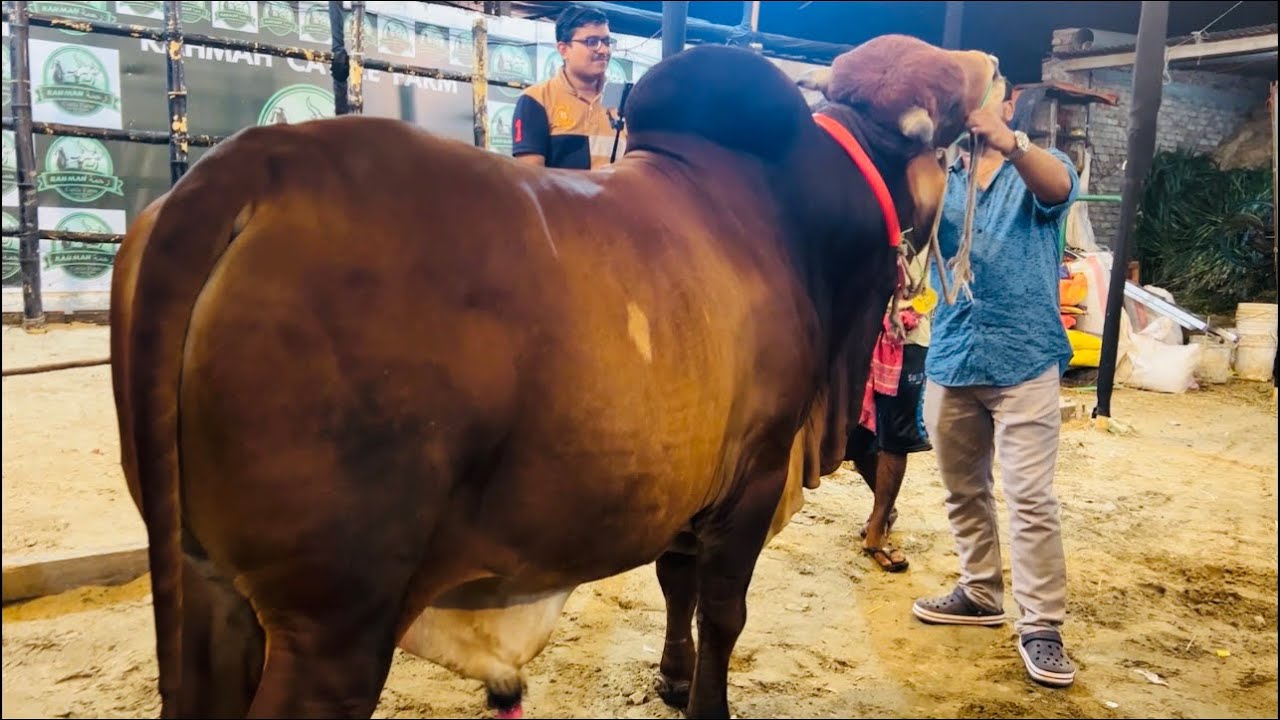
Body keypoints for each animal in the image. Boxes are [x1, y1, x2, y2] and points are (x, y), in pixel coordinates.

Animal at [109, 35, 1002, 720]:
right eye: (944, 135)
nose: (990, 70)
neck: (790, 215)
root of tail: (254, 165)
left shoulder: (688, 487)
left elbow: (676, 582)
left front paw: (673, 680)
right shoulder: (751, 479)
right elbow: (724, 611)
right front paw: (705, 701)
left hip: (209, 588)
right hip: (333, 624)